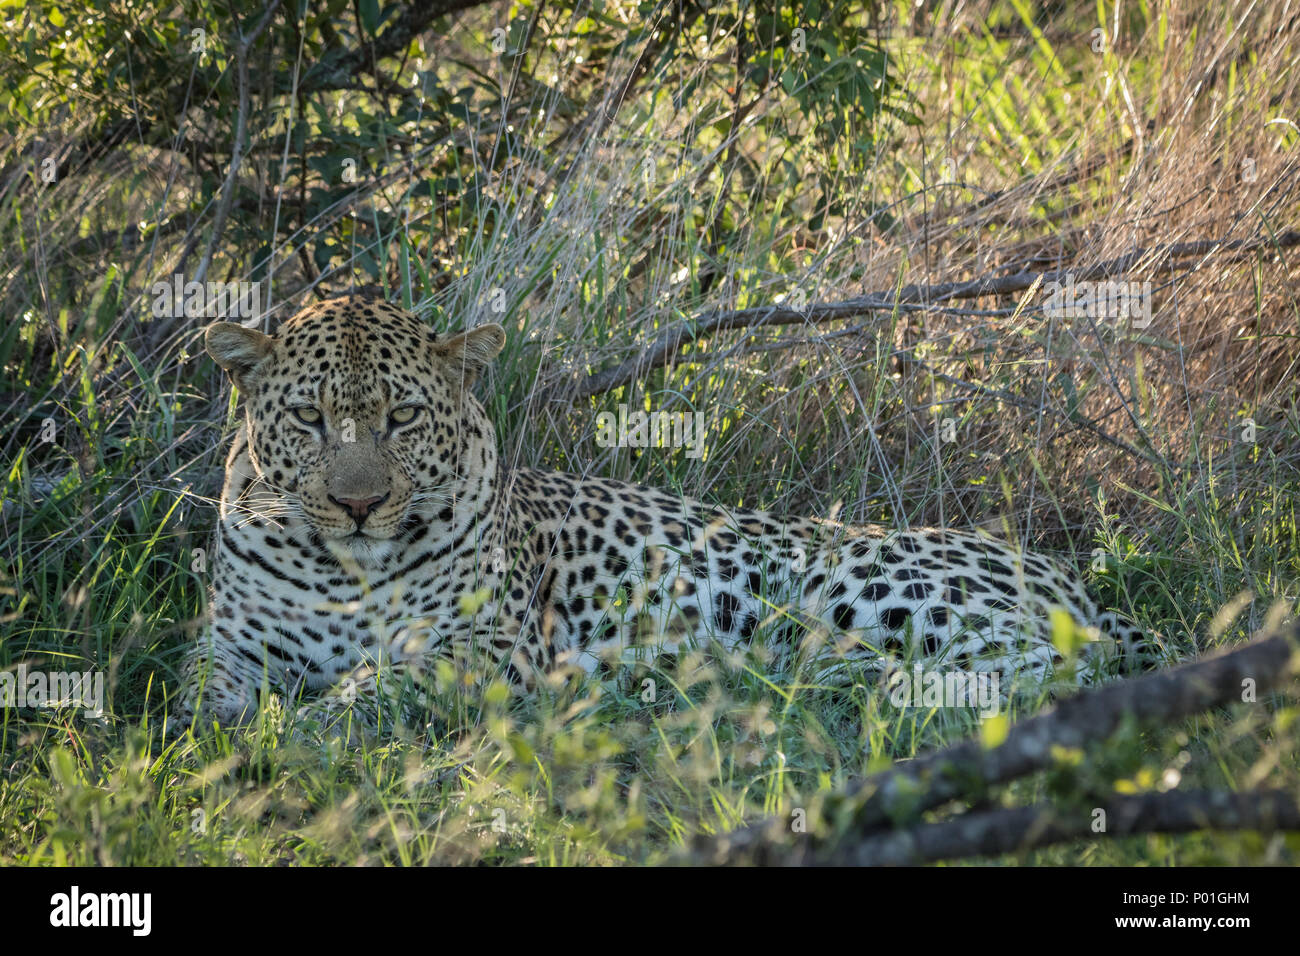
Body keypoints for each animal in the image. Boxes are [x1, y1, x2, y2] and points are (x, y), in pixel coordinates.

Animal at [175, 293, 1161, 734]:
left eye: (403, 419)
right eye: (310, 420)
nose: (359, 504)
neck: (344, 570)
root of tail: (1064, 573)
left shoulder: (484, 646)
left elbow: (376, 686)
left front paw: (304, 728)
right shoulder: (233, 641)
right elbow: (196, 694)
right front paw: (212, 736)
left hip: (864, 575)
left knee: (1044, 673)